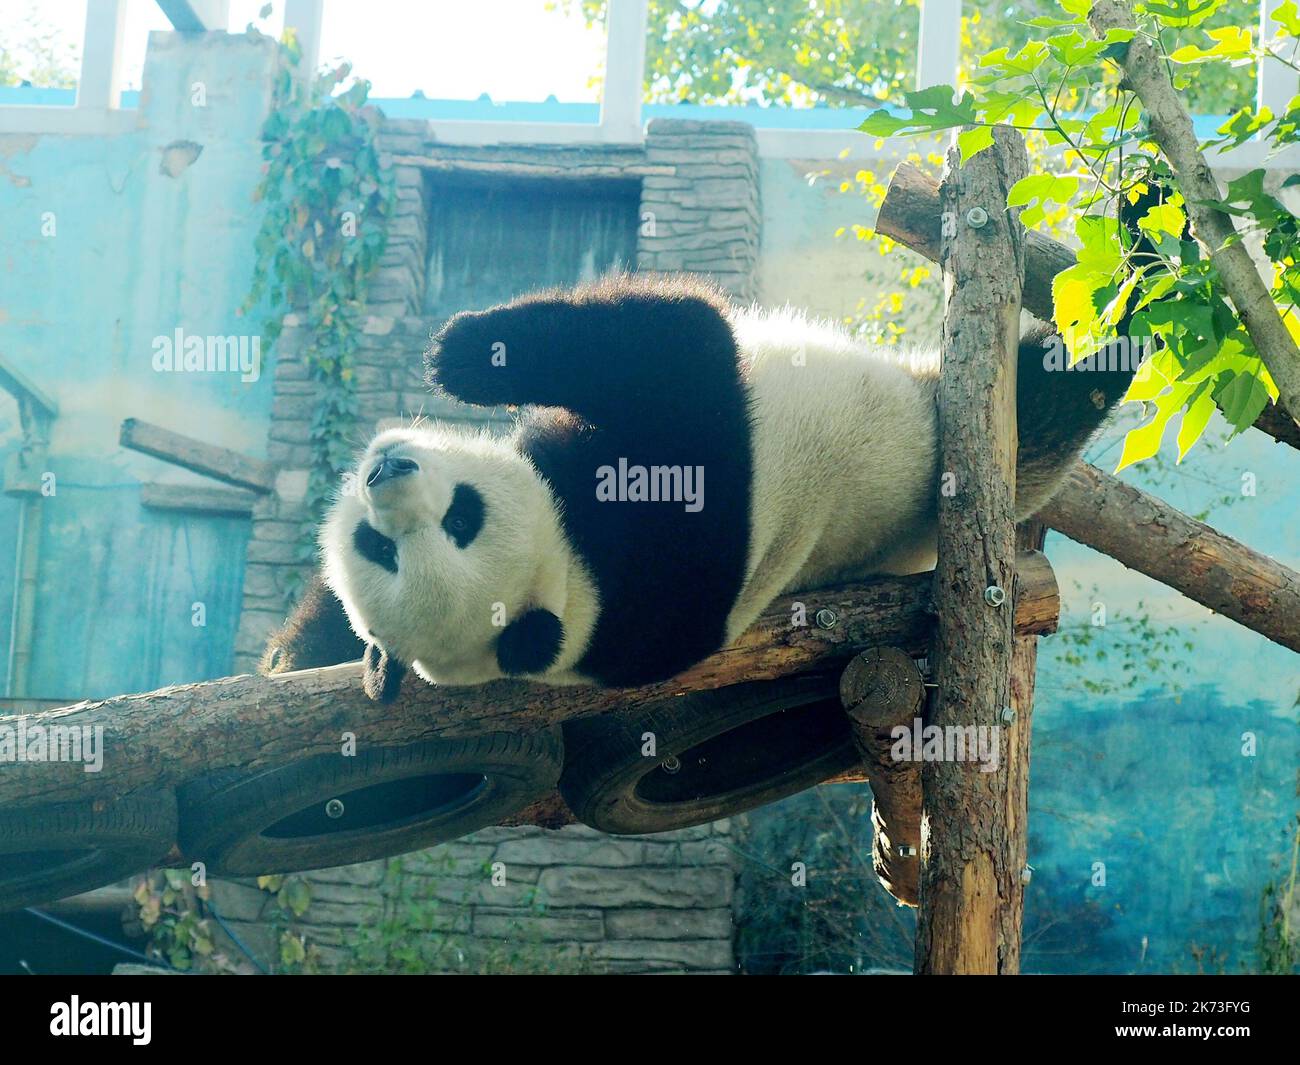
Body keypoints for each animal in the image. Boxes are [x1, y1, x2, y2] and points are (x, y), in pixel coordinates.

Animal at [263, 271, 1138, 702]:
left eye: (462, 518)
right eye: (383, 548)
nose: (385, 470)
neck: (568, 574)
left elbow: (676, 343)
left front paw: (468, 351)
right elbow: (686, 342)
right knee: (1052, 400)